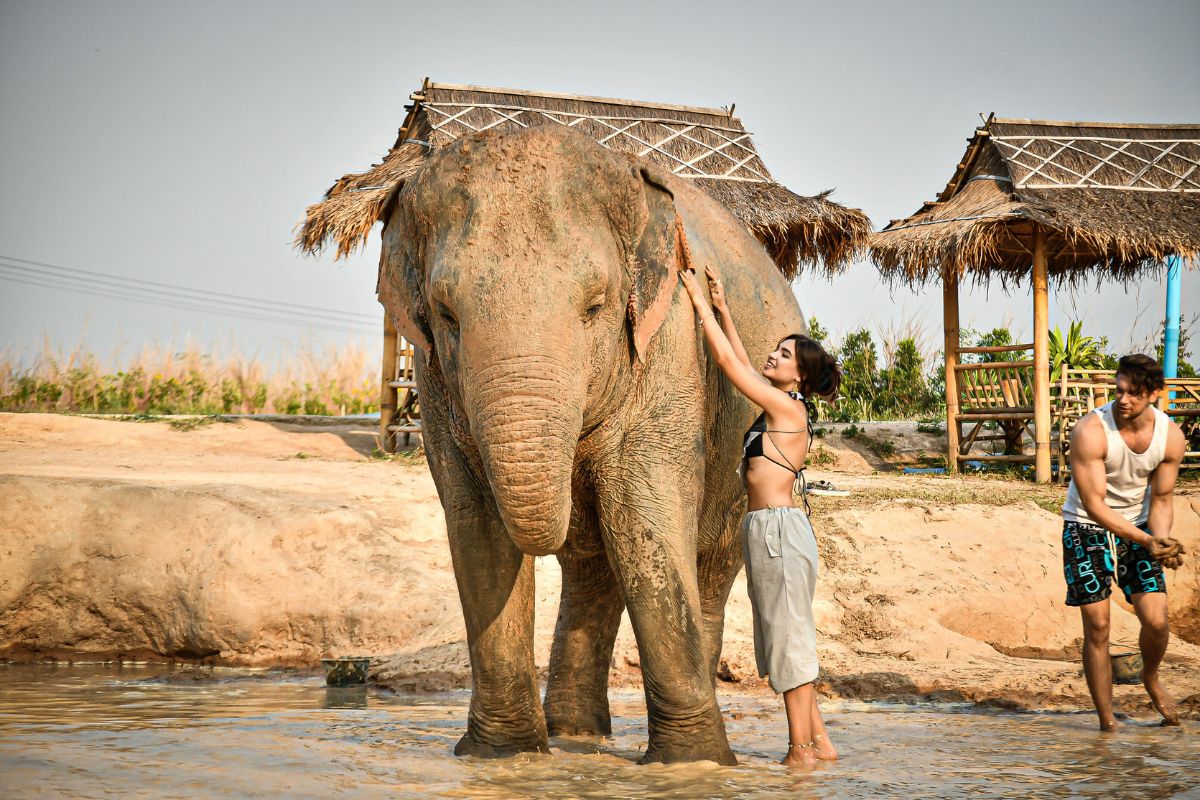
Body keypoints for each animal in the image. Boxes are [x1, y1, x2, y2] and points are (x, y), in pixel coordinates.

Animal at [377, 125, 805, 765]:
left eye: (595, 307)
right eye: (446, 314)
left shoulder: (671, 341)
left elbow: (643, 517)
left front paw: (694, 765)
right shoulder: (434, 380)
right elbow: (476, 525)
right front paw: (501, 758)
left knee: (704, 569)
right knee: (591, 572)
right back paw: (576, 736)